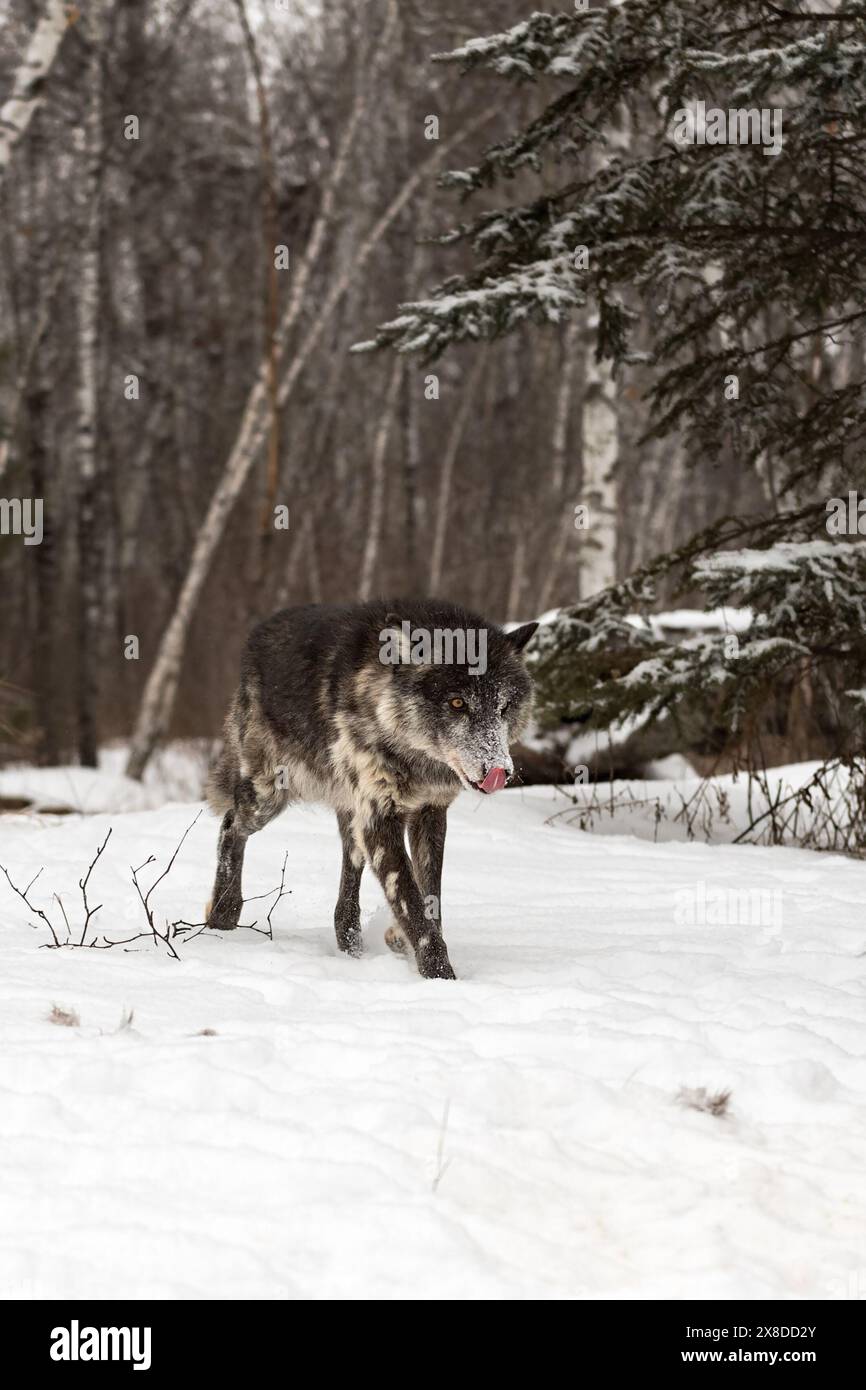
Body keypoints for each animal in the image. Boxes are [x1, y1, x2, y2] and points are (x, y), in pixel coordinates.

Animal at [206, 599, 538, 979]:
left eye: (504, 706)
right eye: (457, 703)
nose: (500, 771)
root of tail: (258, 633)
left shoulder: (429, 813)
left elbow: (430, 895)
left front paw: (401, 939)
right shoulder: (379, 818)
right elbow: (410, 900)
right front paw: (441, 976)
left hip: (351, 820)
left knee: (347, 886)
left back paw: (350, 947)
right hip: (269, 796)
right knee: (230, 823)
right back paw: (223, 914)